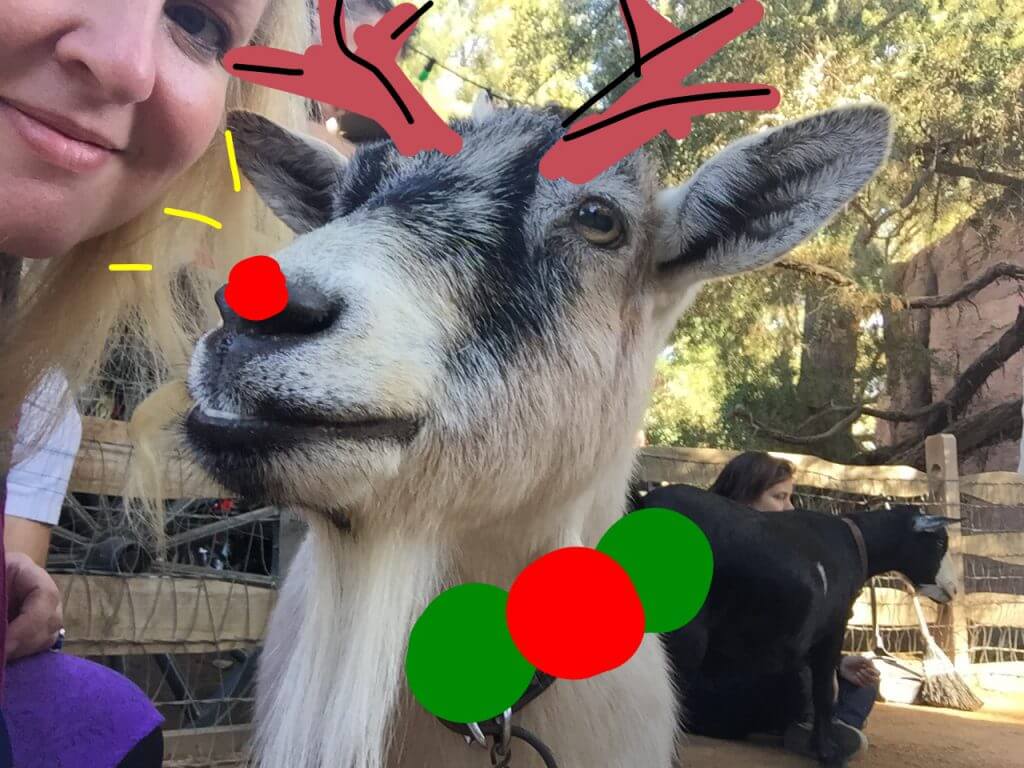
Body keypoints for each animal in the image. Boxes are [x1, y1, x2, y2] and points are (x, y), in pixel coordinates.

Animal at [640, 483, 958, 768]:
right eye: (939, 543)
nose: (953, 590)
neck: (855, 544)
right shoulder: (834, 626)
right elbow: (823, 691)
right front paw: (828, 753)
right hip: (686, 630)